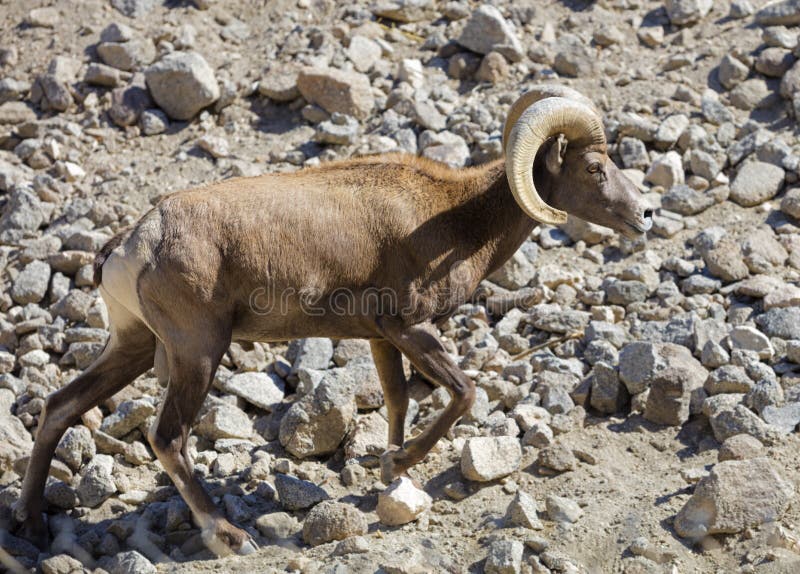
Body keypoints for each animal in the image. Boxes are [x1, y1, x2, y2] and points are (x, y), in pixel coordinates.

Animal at [13, 86, 652, 556]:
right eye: (594, 168)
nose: (645, 214)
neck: (455, 216)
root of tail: (133, 244)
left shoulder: (381, 340)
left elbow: (397, 400)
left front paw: (390, 476)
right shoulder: (408, 328)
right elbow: (464, 393)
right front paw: (400, 462)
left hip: (134, 347)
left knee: (61, 407)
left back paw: (33, 528)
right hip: (198, 353)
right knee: (167, 437)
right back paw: (229, 538)